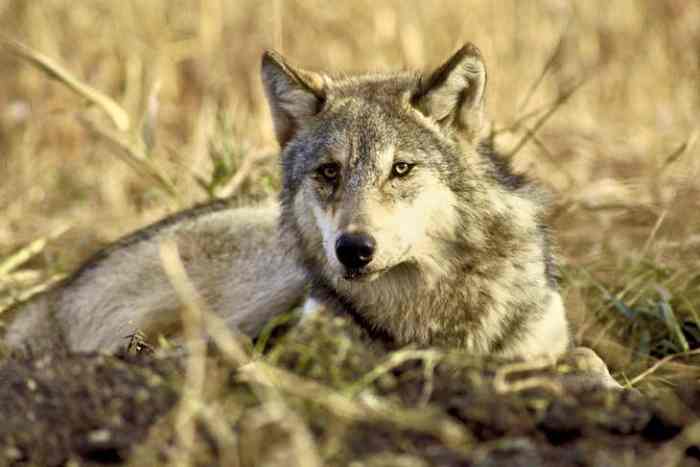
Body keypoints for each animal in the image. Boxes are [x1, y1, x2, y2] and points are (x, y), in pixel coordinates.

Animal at [4, 43, 571, 361]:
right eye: (329, 172)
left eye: (401, 169)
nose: (353, 250)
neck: (430, 311)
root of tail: (51, 296)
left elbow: (580, 357)